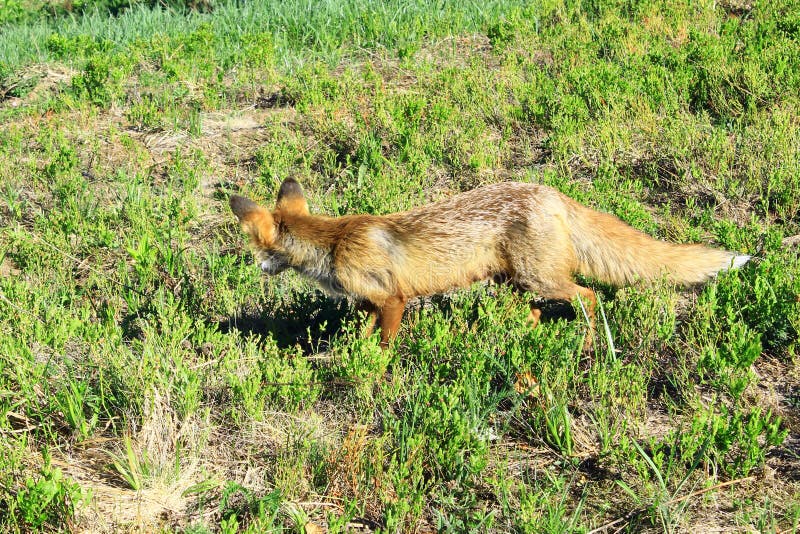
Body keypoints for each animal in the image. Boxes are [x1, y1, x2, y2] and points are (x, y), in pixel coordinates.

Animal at [230, 178, 750, 348]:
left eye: (255, 249)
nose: (256, 271)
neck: (333, 244)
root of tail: (549, 192)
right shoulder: (368, 303)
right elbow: (361, 335)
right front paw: (347, 357)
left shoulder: (394, 300)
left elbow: (384, 346)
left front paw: (373, 373)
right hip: (518, 282)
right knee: (534, 312)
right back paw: (522, 340)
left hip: (544, 279)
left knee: (587, 296)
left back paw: (585, 343)